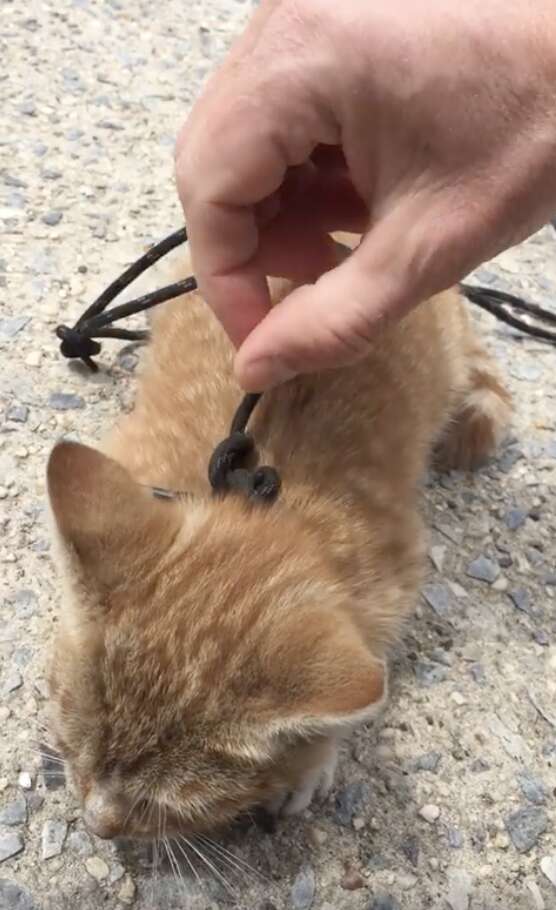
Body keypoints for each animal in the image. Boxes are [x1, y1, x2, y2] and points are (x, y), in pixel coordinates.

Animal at [45, 233, 510, 840]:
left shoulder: (398, 574)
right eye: (72, 733)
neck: (264, 502)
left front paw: (311, 761)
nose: (98, 825)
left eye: (173, 805)